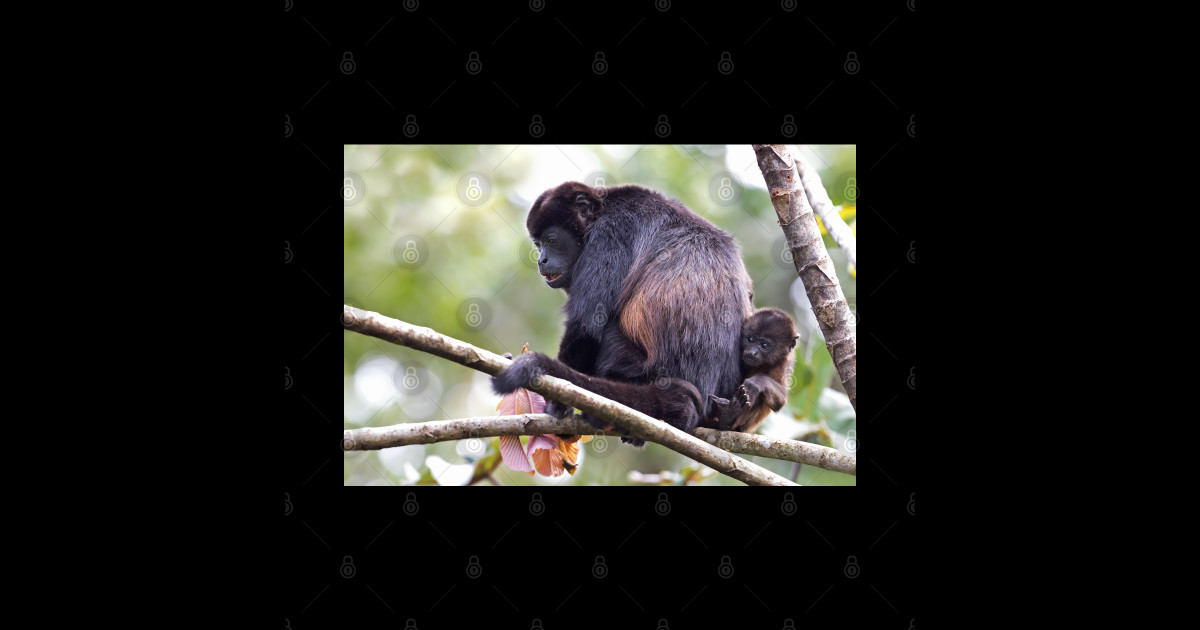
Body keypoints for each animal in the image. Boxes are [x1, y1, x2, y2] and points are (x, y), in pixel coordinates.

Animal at [492, 181, 754, 442]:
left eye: (552, 240)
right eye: (538, 245)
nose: (541, 260)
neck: (601, 208)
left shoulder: (611, 233)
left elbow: (587, 327)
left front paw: (557, 404)